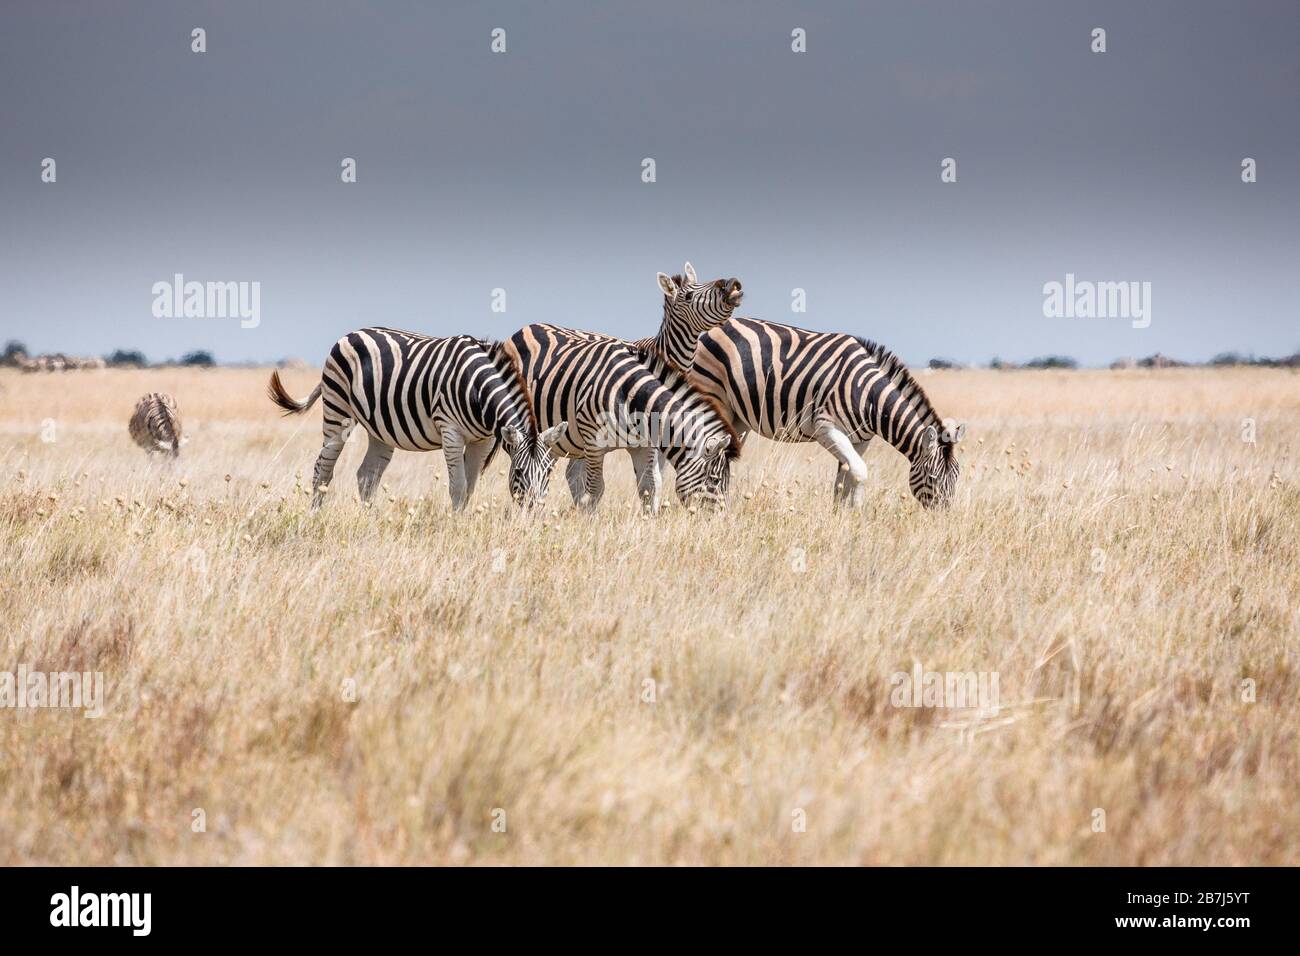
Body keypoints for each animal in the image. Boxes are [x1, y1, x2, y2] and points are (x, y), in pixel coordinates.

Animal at [267, 328, 566, 510]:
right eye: (519, 472)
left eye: (548, 473)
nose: (534, 515)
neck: (478, 390)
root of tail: (350, 334)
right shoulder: (450, 431)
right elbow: (458, 487)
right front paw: (456, 527)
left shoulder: (481, 440)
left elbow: (470, 488)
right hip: (337, 409)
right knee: (323, 468)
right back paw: (315, 513)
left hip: (379, 428)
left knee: (366, 476)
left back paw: (369, 519)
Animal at [502, 326, 738, 511]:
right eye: (715, 480)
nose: (722, 521)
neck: (631, 397)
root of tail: (525, 329)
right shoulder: (594, 443)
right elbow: (595, 489)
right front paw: (589, 524)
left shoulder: (643, 446)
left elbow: (649, 487)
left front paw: (649, 525)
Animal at [689, 319, 965, 509]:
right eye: (932, 478)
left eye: (956, 478)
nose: (944, 519)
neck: (869, 396)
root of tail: (717, 328)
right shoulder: (826, 429)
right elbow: (860, 472)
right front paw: (856, 515)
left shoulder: (859, 440)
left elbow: (844, 480)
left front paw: (842, 520)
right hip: (715, 396)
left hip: (739, 418)